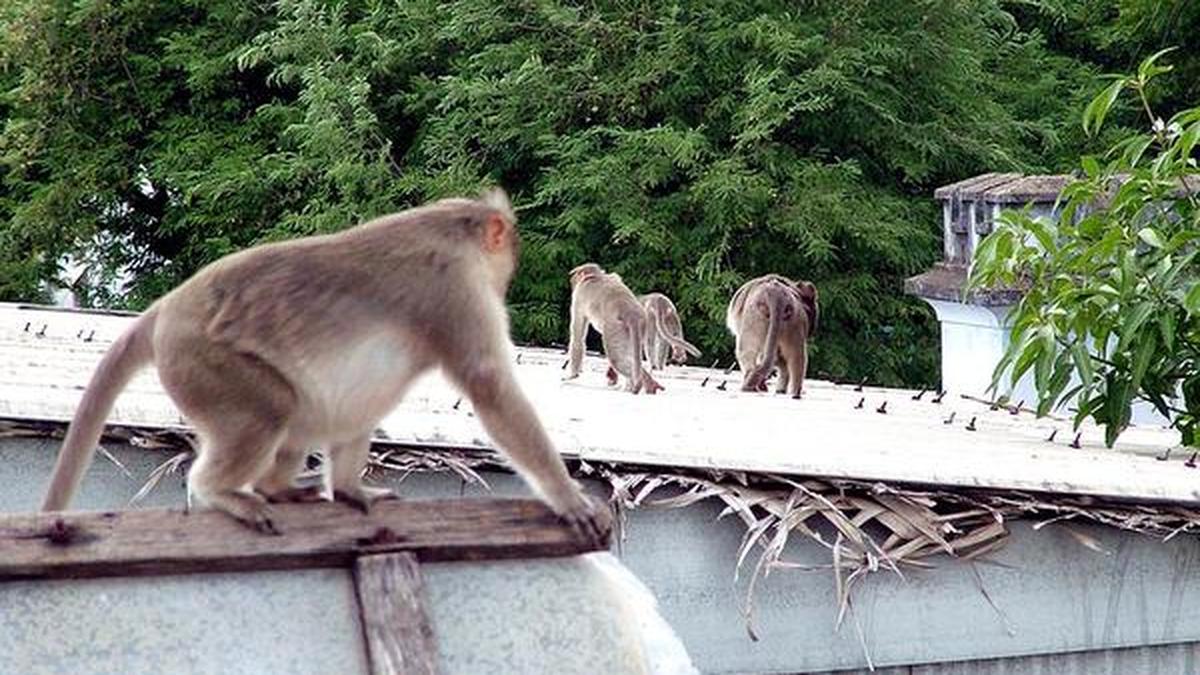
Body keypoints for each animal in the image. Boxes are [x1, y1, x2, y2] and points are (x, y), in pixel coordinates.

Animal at [41, 189, 606, 542]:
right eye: (507, 252)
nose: (506, 279)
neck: (450, 232)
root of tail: (165, 310)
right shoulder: (455, 291)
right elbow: (491, 387)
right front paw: (568, 498)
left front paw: (352, 488)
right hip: (201, 363)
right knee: (270, 408)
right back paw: (224, 492)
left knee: (330, 407)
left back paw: (287, 489)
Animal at [564, 263, 664, 394]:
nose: (572, 285)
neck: (595, 276)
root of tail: (632, 315)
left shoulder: (579, 297)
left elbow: (577, 337)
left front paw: (571, 376)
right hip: (640, 326)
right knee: (628, 356)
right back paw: (647, 384)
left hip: (615, 328)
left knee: (617, 358)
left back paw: (639, 383)